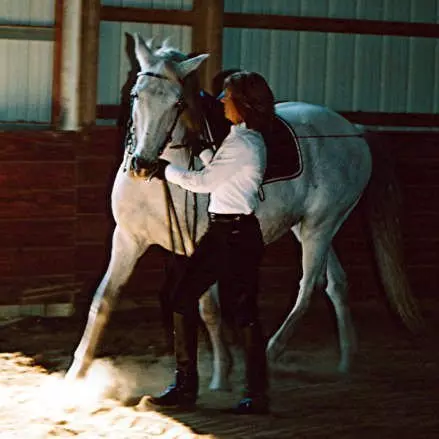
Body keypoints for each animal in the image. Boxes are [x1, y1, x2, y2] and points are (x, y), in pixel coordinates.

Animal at [66, 34, 422, 390]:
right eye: (135, 95)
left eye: (178, 104)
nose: (143, 165)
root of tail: (354, 131)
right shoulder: (127, 239)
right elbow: (103, 299)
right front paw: (76, 373)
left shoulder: (199, 247)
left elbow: (208, 309)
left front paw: (221, 374)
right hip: (313, 227)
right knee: (336, 283)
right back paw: (346, 359)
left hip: (319, 228)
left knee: (308, 287)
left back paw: (273, 350)